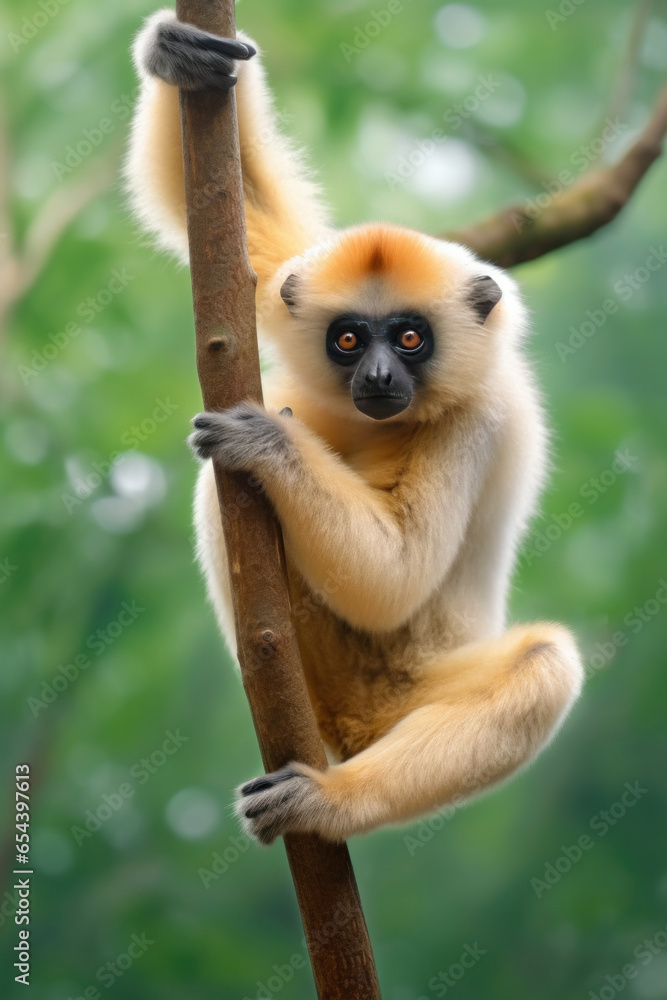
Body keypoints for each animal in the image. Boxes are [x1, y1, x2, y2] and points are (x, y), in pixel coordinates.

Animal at [126, 9, 584, 845]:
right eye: (347, 340)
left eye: (407, 339)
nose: (375, 379)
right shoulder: (280, 287)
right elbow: (247, 237)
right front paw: (178, 55)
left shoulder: (474, 419)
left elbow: (391, 581)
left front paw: (266, 443)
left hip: (398, 692)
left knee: (542, 661)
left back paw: (327, 799)